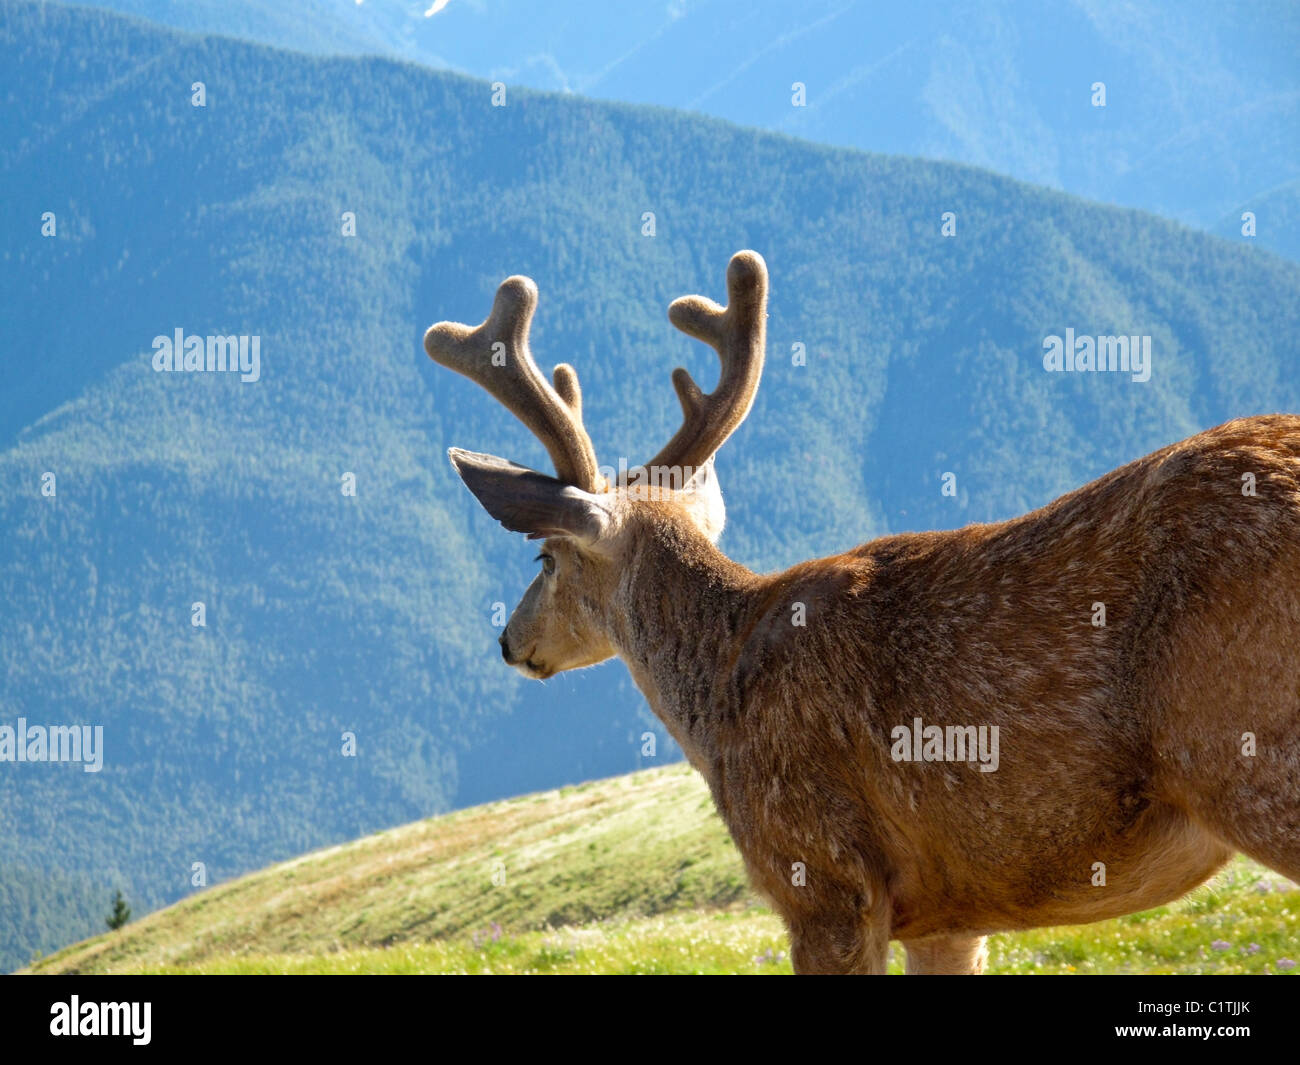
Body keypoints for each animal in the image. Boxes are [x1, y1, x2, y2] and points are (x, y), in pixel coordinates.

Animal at [424, 250, 1300, 974]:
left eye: (543, 558)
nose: (508, 640)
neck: (718, 690)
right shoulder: (950, 915)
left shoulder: (820, 869)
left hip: (1250, 755)